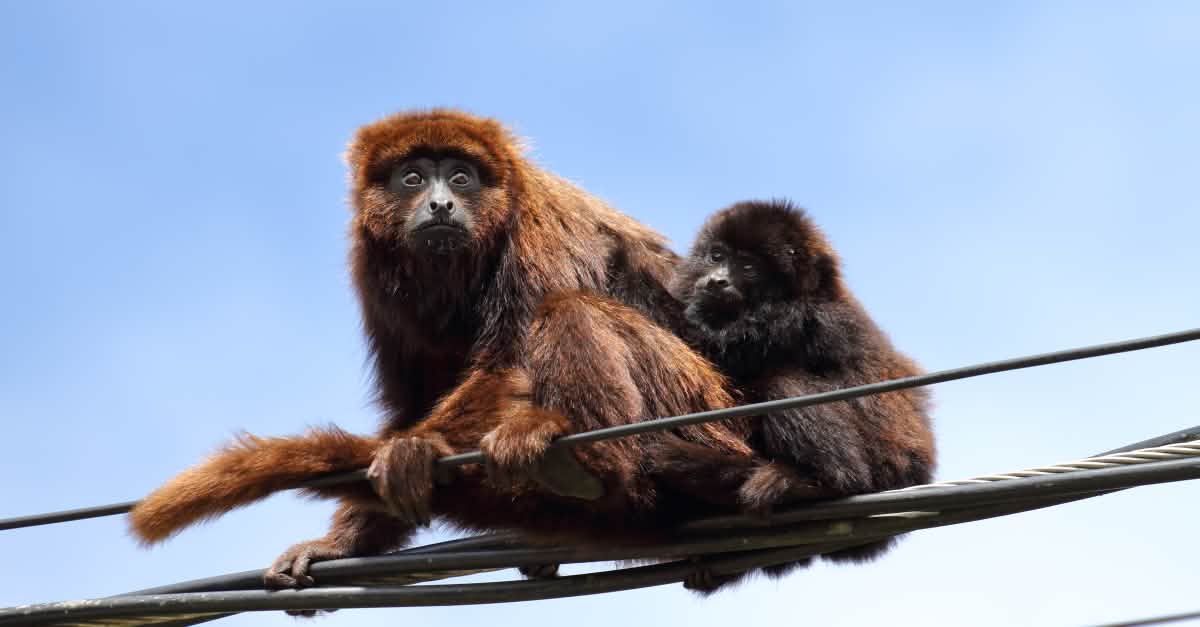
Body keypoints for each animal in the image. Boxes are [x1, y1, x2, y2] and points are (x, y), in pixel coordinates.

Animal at [129, 110, 791, 590]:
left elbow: (507, 363)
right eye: (414, 177)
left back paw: (595, 470)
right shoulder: (372, 270)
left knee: (569, 310)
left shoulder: (535, 225)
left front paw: (416, 449)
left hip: (701, 414)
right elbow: (409, 400)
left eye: (461, 177)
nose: (442, 202)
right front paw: (343, 539)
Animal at [668, 199, 936, 592]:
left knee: (783, 382)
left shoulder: (794, 322)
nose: (718, 280)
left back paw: (821, 483)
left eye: (748, 267)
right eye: (717, 255)